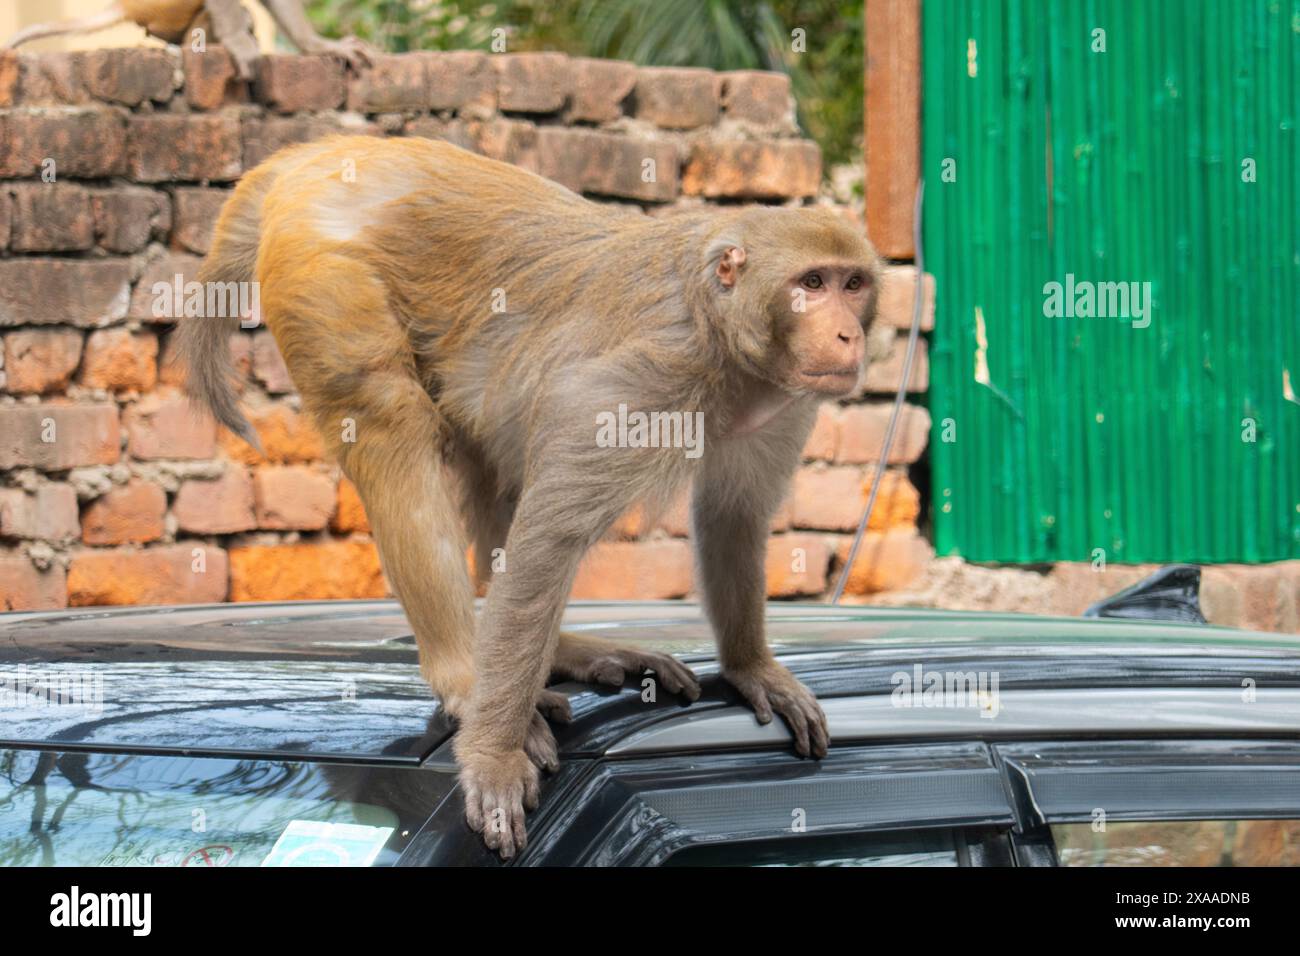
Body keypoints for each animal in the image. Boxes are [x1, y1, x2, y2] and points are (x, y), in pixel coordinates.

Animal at [177, 135, 881, 859]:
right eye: (811, 284)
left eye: (852, 284)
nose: (849, 335)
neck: (726, 340)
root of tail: (320, 153)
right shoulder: (643, 381)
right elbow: (550, 536)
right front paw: (490, 754)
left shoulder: (783, 402)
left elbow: (733, 518)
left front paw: (751, 667)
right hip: (324, 271)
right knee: (390, 422)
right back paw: (466, 678)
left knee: (493, 449)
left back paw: (563, 650)